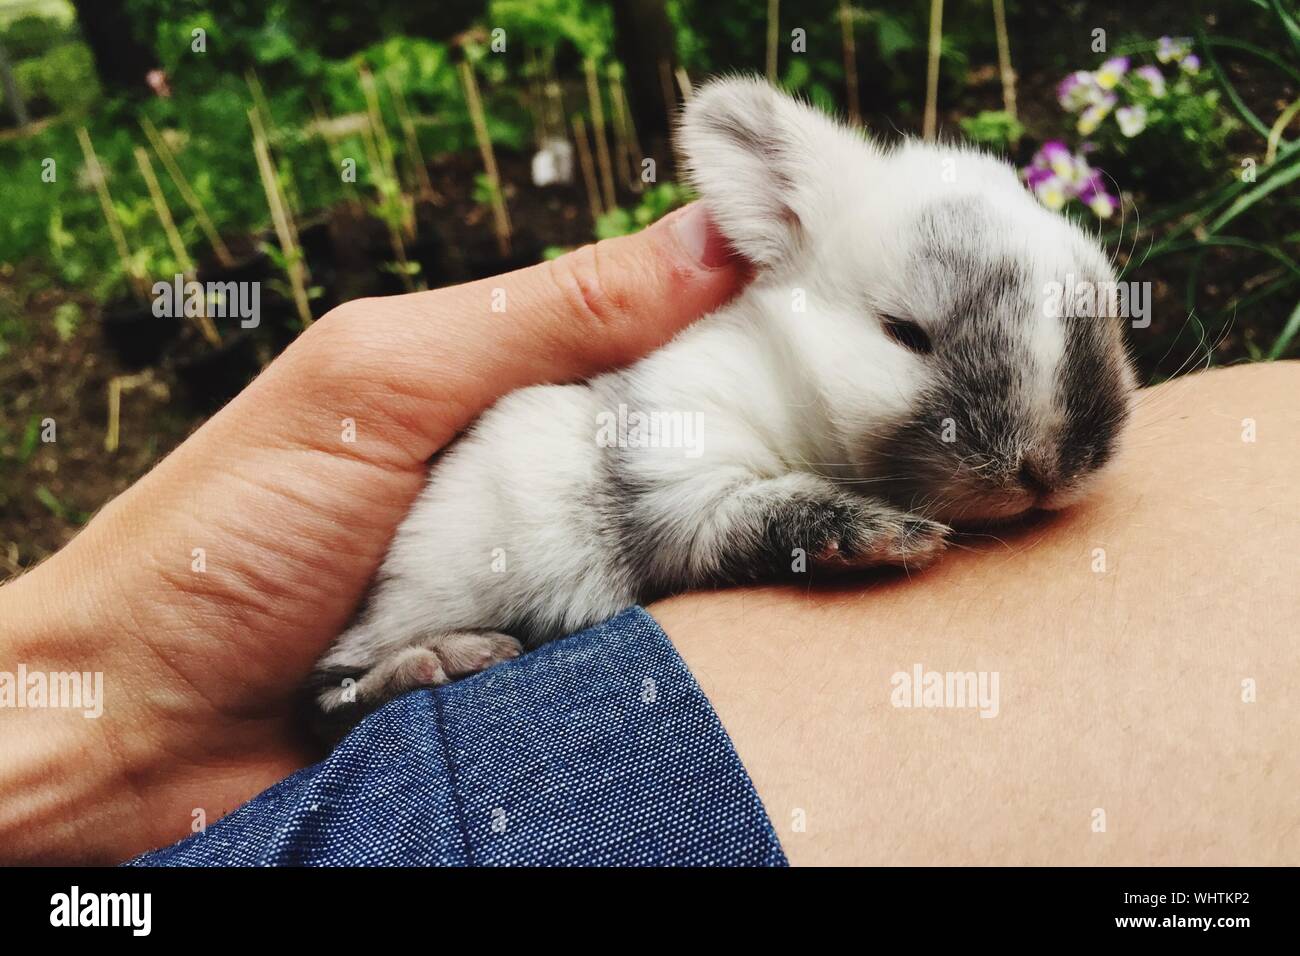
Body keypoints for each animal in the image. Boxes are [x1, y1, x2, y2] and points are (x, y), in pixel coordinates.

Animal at [310, 76, 1135, 729]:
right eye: (905, 332)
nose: (1047, 470)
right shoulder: (681, 471)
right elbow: (764, 514)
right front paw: (887, 536)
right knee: (332, 693)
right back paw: (445, 658)